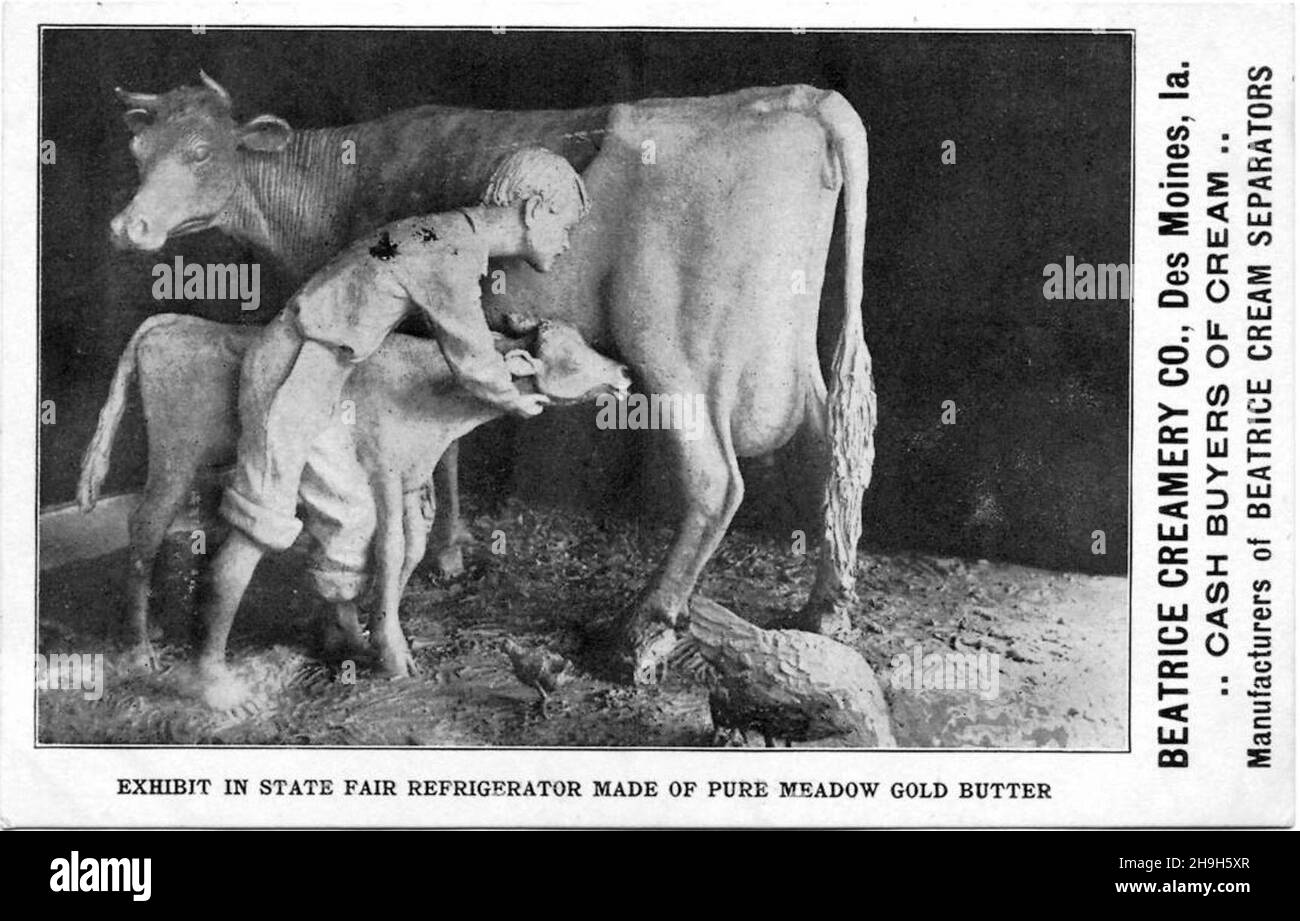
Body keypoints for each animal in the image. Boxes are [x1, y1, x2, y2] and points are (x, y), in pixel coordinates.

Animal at [76, 312, 631, 687]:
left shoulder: (408, 478)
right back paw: (141, 648)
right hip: (176, 455)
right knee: (146, 526)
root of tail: (173, 322)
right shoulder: (381, 467)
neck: (432, 394)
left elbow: (406, 552)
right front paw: (393, 655)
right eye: (573, 350)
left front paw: (355, 635)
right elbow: (389, 552)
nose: (625, 372)